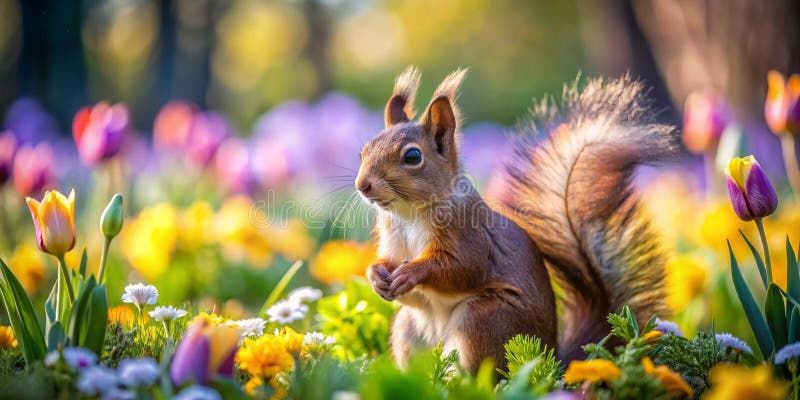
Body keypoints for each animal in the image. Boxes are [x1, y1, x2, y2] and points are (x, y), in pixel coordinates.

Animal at [355, 67, 678, 372]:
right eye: (364, 150)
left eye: (412, 156)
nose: (362, 185)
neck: (409, 214)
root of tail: (553, 358)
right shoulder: (393, 241)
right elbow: (396, 277)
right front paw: (375, 275)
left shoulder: (468, 233)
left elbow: (462, 268)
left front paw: (412, 273)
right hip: (408, 329)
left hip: (485, 320)